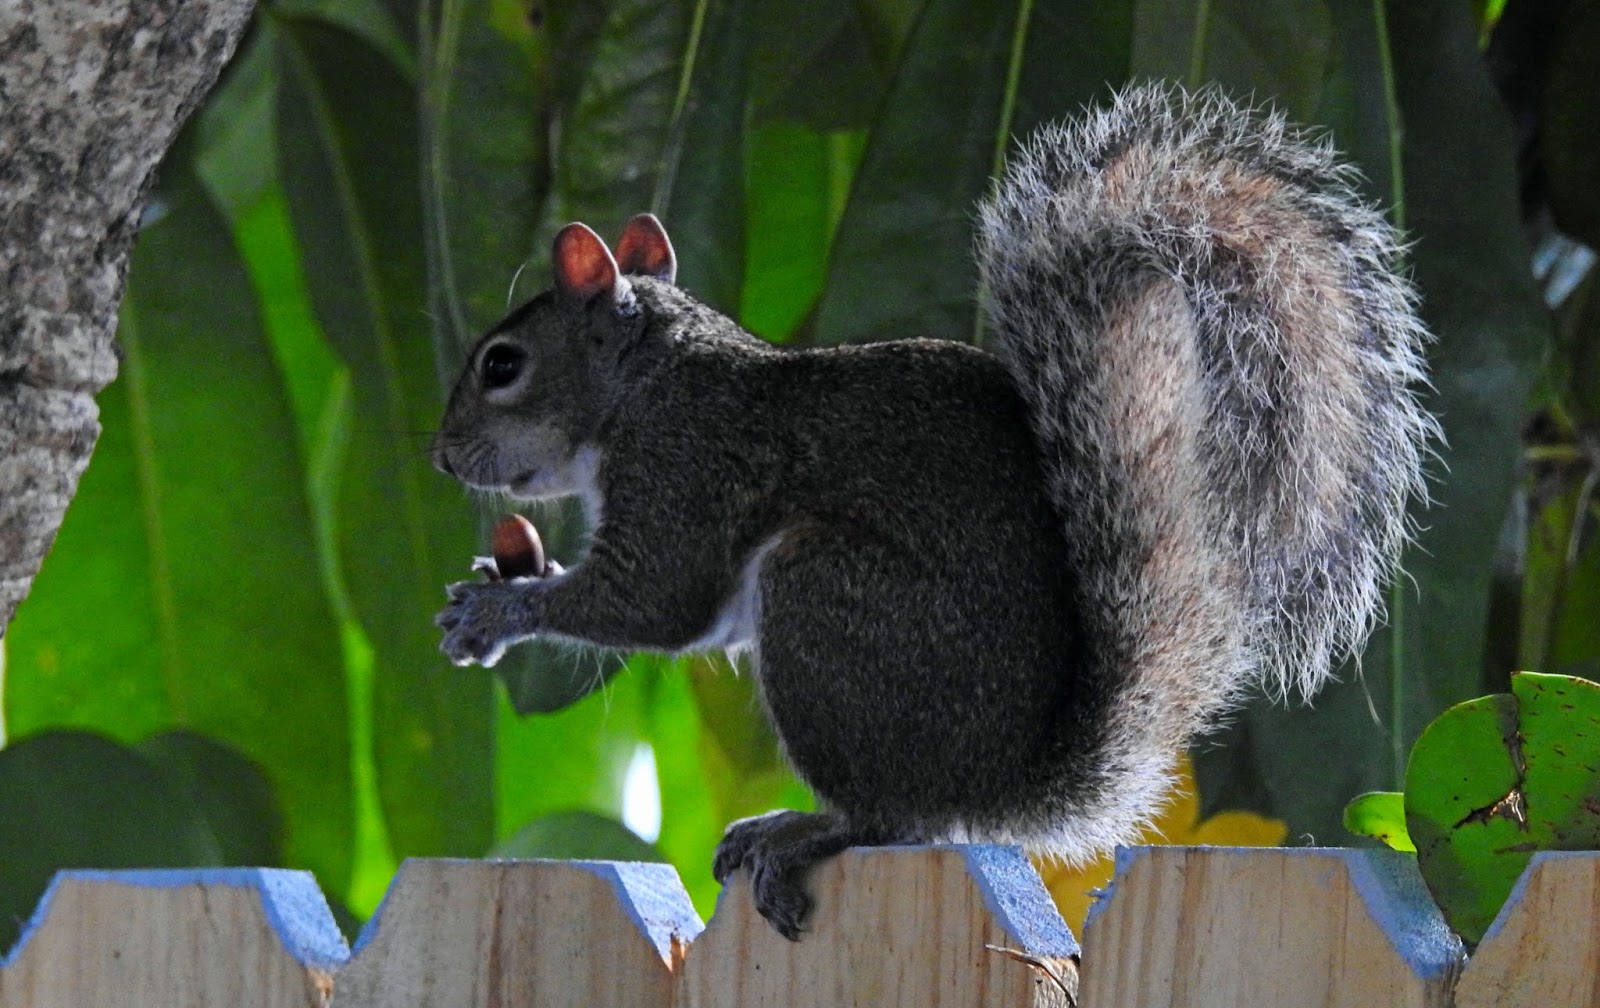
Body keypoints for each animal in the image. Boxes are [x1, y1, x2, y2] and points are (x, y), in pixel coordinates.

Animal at [432, 83, 1433, 940]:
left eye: (502, 365)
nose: (441, 456)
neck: (647, 379)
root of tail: (996, 784)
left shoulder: (686, 468)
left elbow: (654, 603)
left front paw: (499, 608)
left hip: (824, 596)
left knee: (890, 819)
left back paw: (800, 829)